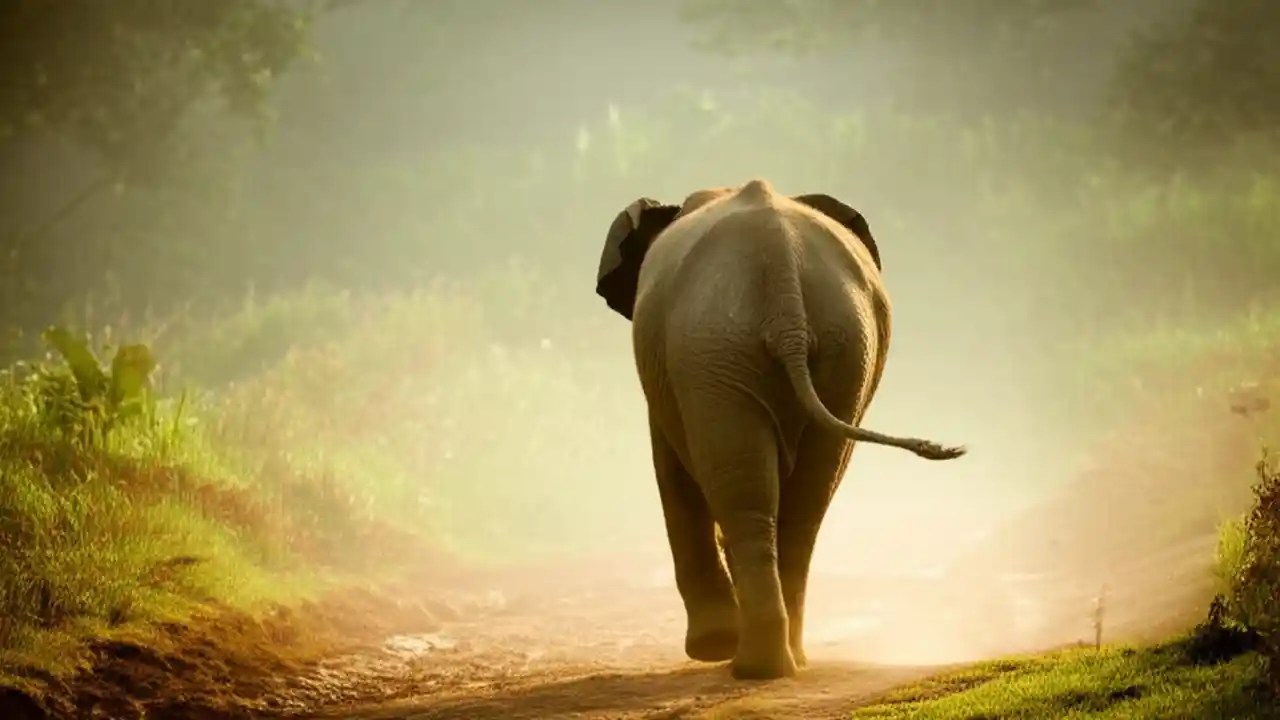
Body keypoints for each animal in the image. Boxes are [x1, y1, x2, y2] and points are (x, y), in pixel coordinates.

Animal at [594, 178, 967, 680]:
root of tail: (780, 269)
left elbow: (672, 469)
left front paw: (711, 647)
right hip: (832, 348)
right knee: (801, 500)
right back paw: (781, 662)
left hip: (716, 346)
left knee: (747, 493)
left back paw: (750, 664)